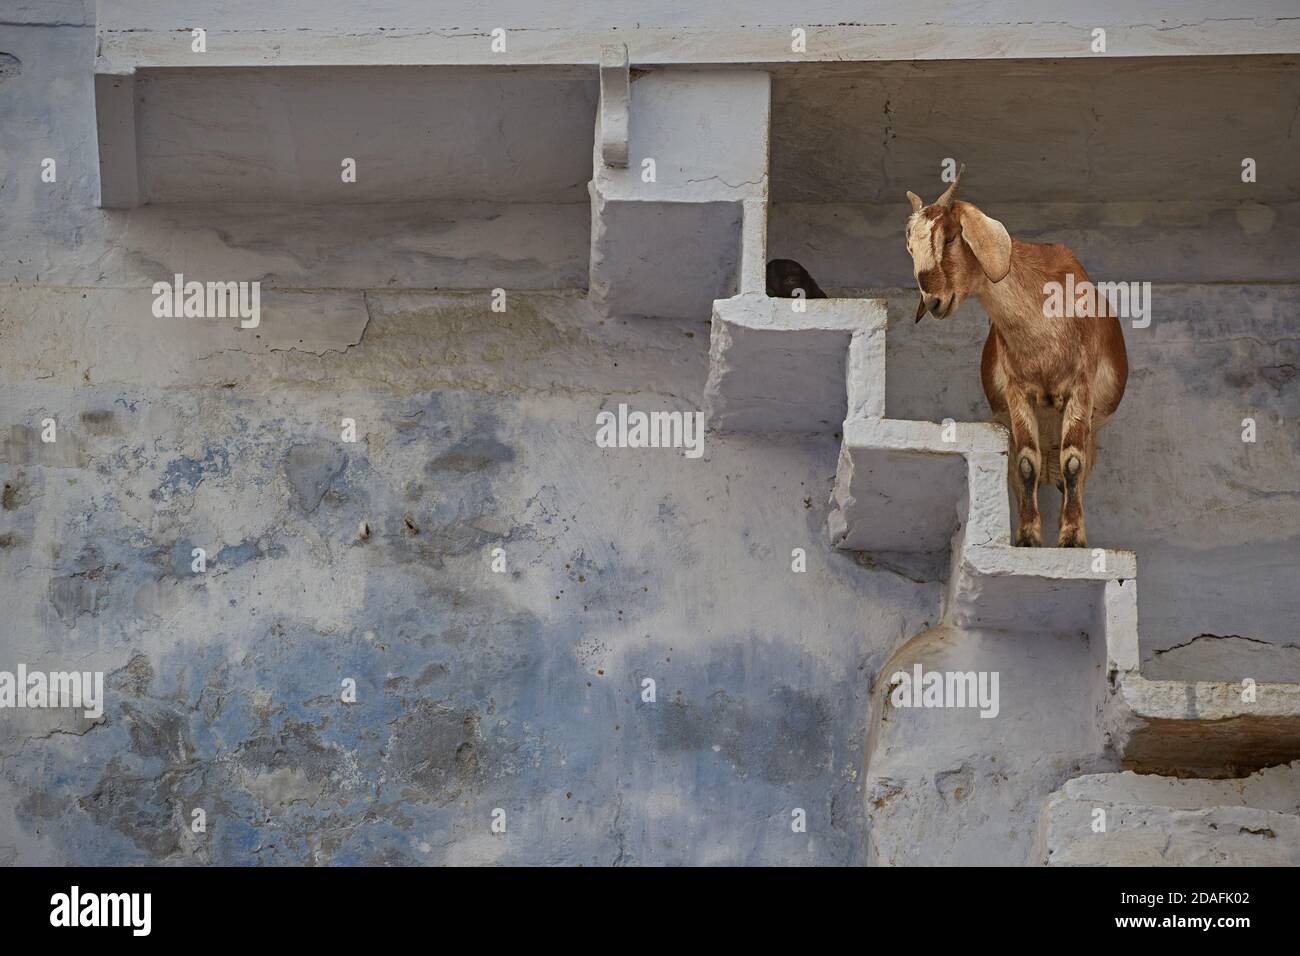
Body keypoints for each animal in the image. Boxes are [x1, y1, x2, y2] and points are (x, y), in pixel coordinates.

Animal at [903, 167, 1128, 548]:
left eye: (949, 238)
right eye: (910, 247)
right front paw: (1027, 538)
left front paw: (1071, 539)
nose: (934, 301)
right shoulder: (1018, 391)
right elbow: (1025, 463)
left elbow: (1073, 463)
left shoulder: (1080, 387)